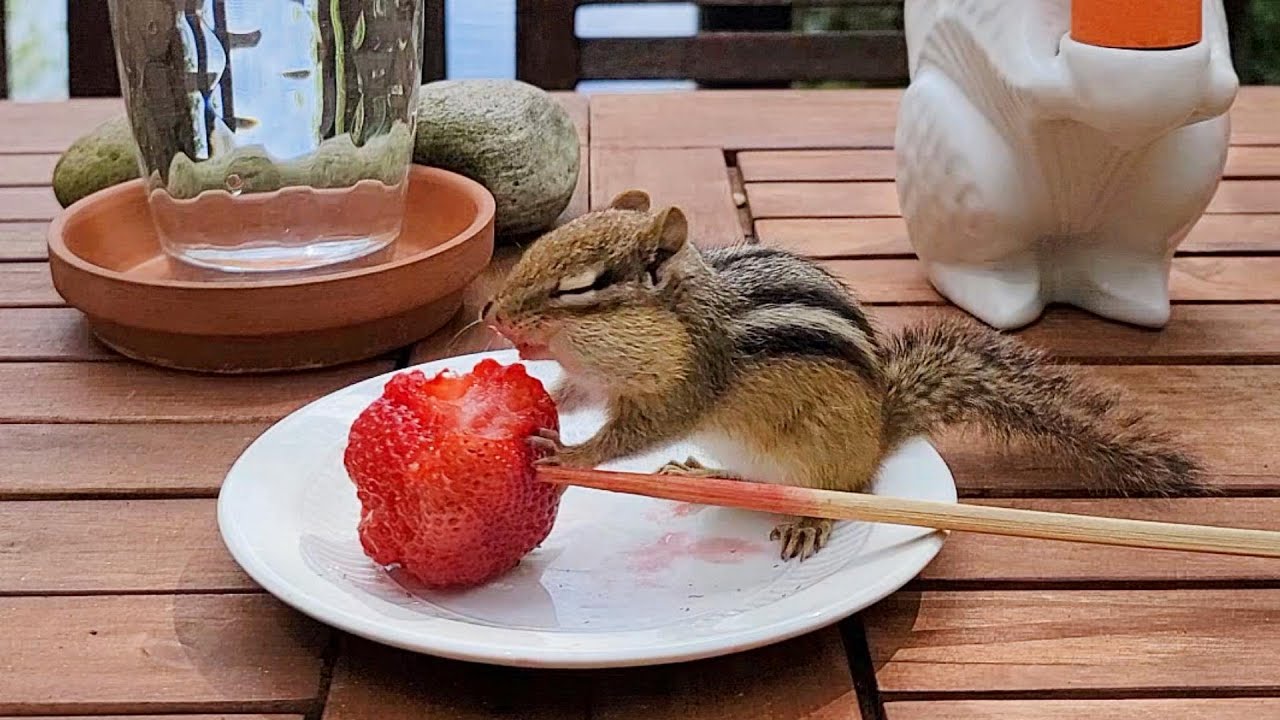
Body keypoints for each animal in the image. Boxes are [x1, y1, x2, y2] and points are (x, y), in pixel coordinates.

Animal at [484, 189, 1206, 561]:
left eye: (582, 285)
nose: (492, 313)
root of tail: (881, 429)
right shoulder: (605, 378)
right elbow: (578, 391)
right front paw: (542, 399)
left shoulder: (688, 383)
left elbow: (636, 431)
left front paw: (570, 451)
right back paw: (704, 473)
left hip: (820, 457)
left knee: (839, 487)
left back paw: (809, 518)